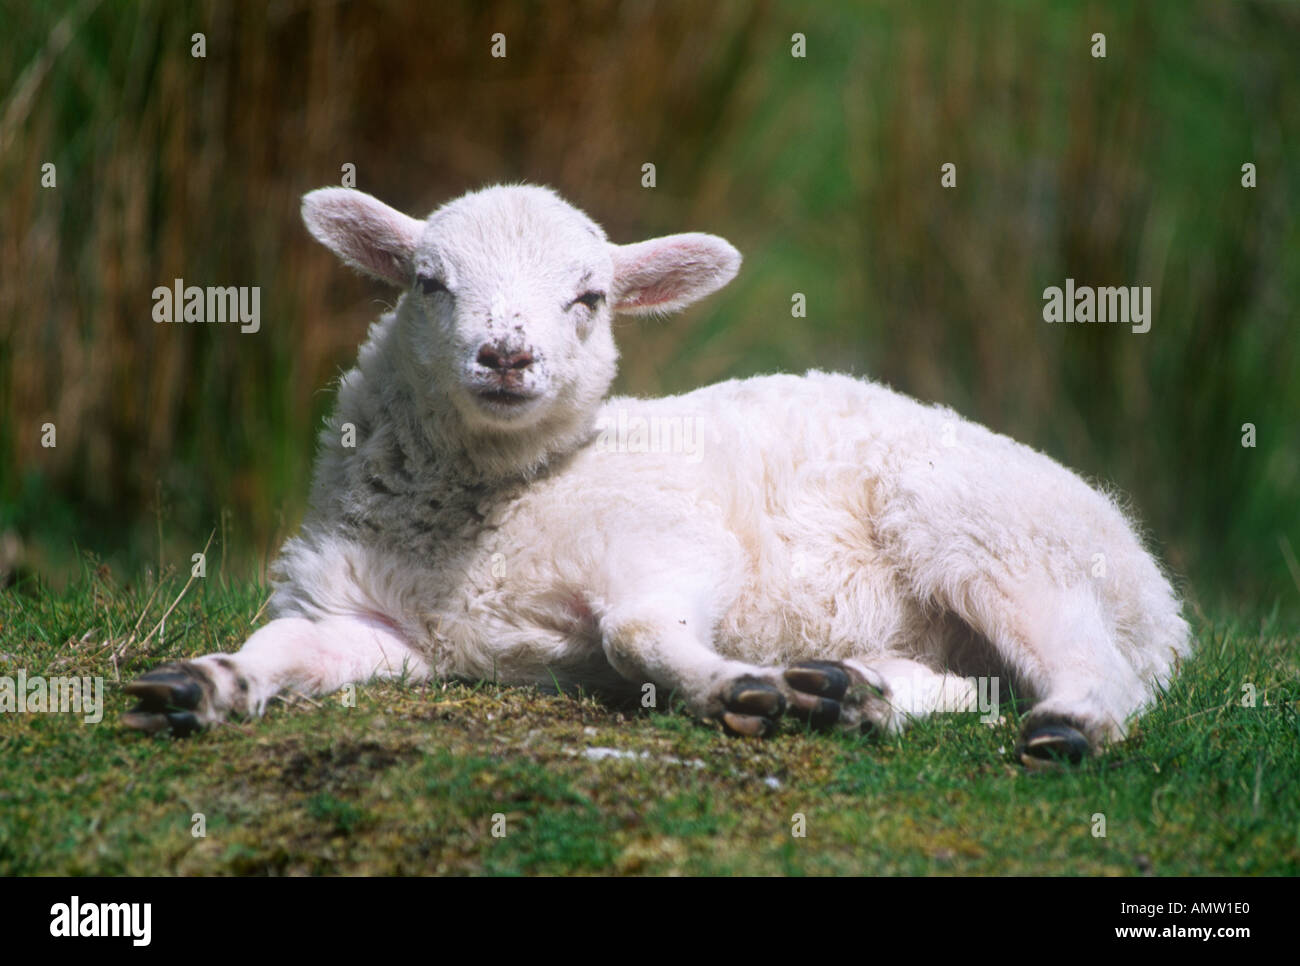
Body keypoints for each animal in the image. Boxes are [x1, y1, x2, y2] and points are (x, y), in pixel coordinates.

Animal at [123, 183, 1192, 766]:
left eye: (590, 298)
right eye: (429, 282)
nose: (506, 356)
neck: (496, 508)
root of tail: (1156, 594)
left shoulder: (672, 539)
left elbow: (635, 634)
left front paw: (736, 691)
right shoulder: (375, 627)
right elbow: (282, 648)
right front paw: (202, 686)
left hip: (992, 531)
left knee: (1086, 664)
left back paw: (1069, 727)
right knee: (981, 687)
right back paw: (855, 692)